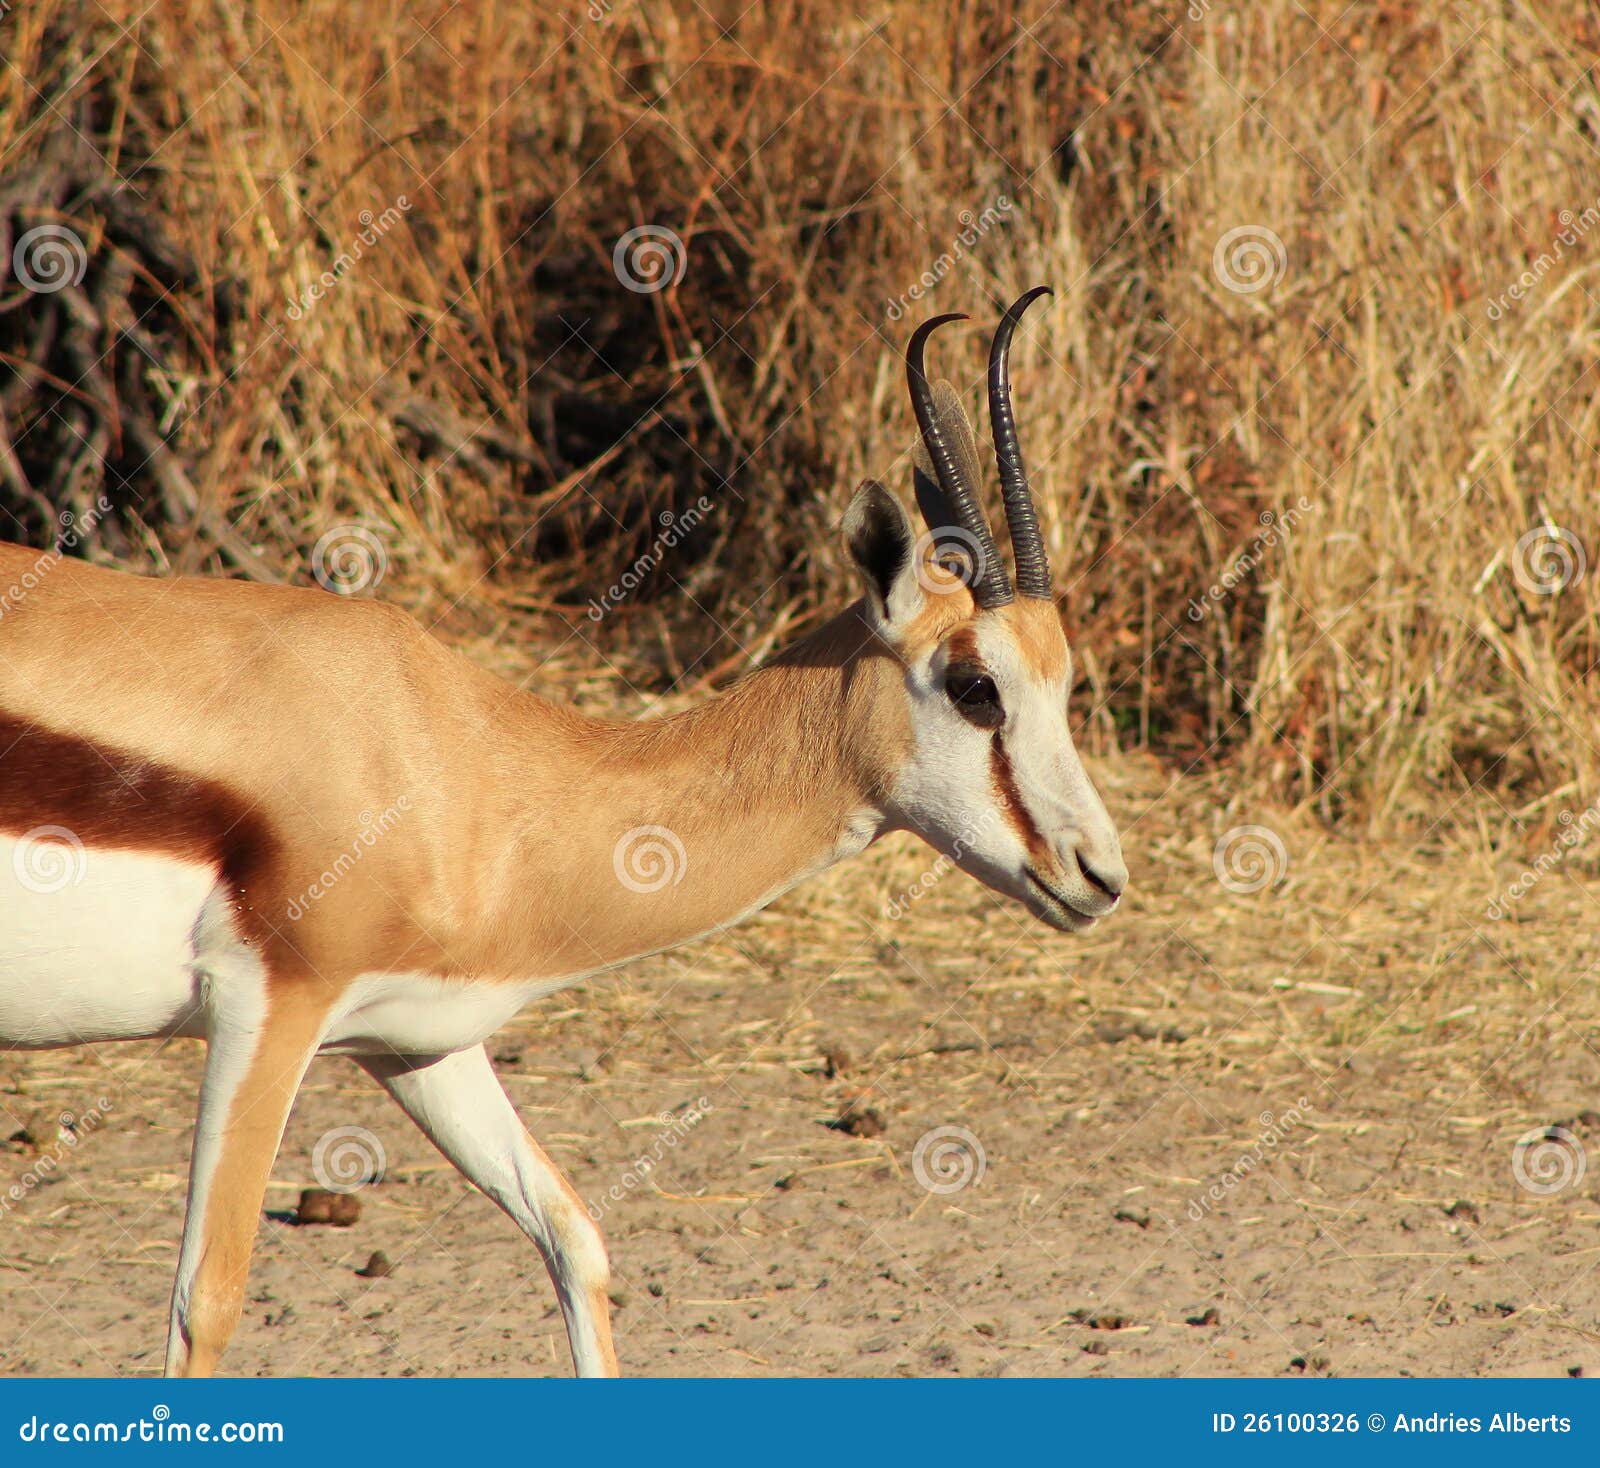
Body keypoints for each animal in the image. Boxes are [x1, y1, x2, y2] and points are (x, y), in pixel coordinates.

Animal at [0, 288, 1125, 1377]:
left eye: (1067, 678)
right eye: (975, 686)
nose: (1098, 873)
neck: (457, 757)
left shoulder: (415, 1040)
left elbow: (574, 1239)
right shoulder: (265, 1010)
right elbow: (206, 1309)